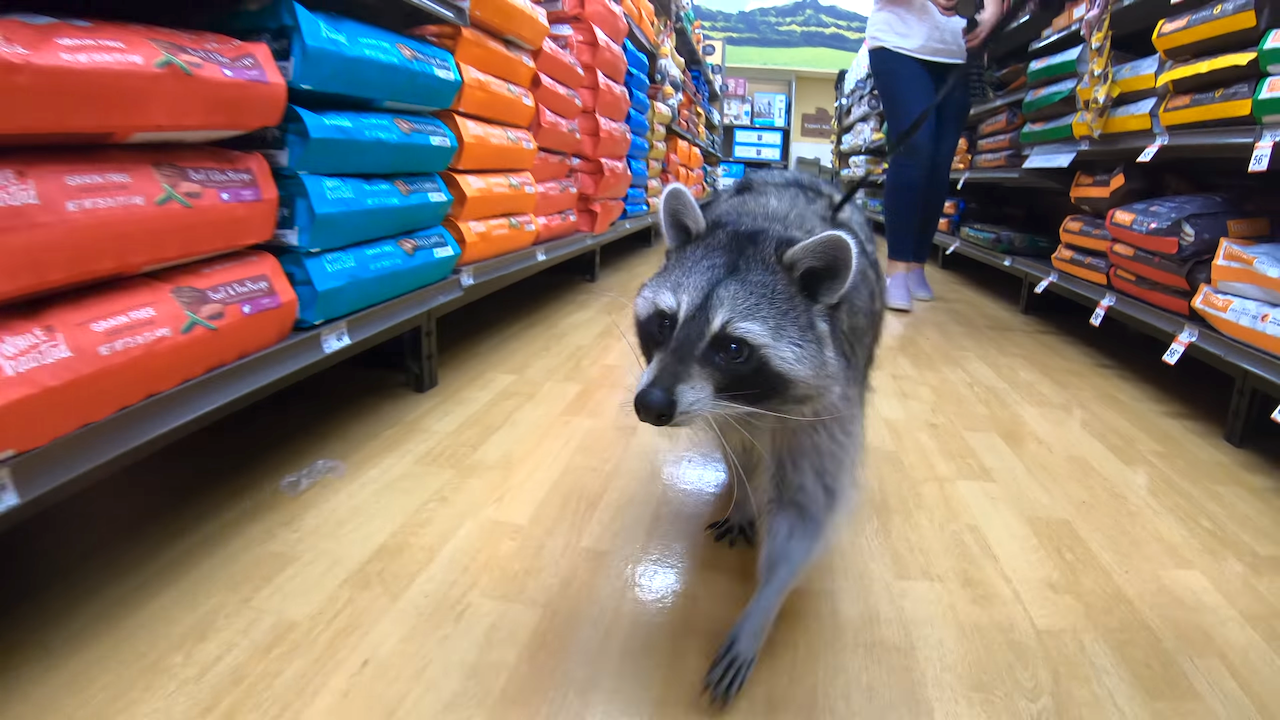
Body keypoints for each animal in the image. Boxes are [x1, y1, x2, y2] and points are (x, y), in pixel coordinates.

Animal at [633, 171, 884, 705]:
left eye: (732, 348)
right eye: (665, 322)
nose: (651, 405)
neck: (764, 228)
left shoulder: (829, 401)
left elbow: (805, 508)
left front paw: (762, 607)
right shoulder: (719, 406)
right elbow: (737, 449)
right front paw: (744, 494)